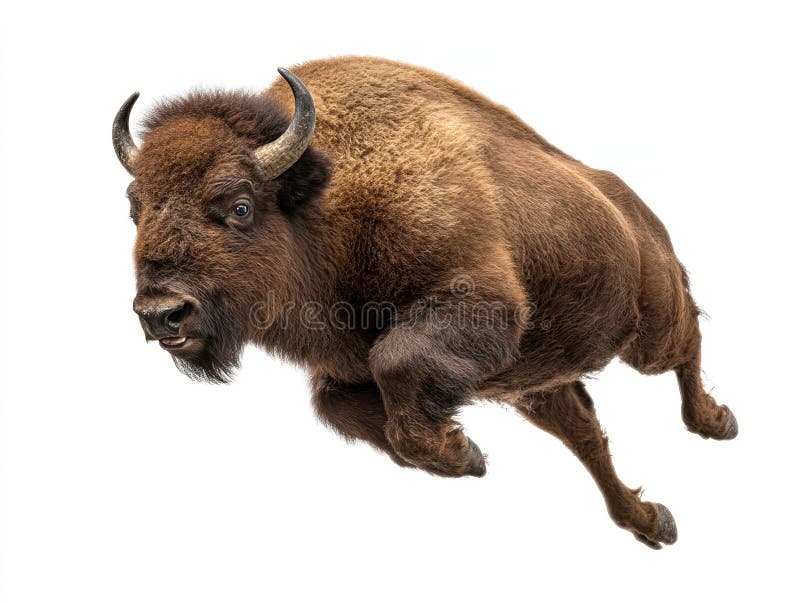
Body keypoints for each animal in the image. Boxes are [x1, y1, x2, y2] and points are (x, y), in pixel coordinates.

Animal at [112, 56, 736, 548]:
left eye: (240, 206)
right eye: (135, 208)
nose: (161, 312)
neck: (325, 201)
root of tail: (630, 203)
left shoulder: (478, 306)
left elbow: (398, 367)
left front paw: (461, 452)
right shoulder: (344, 375)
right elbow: (351, 411)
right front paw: (469, 453)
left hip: (647, 326)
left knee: (686, 342)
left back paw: (716, 422)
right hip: (538, 383)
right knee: (585, 433)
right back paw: (652, 522)